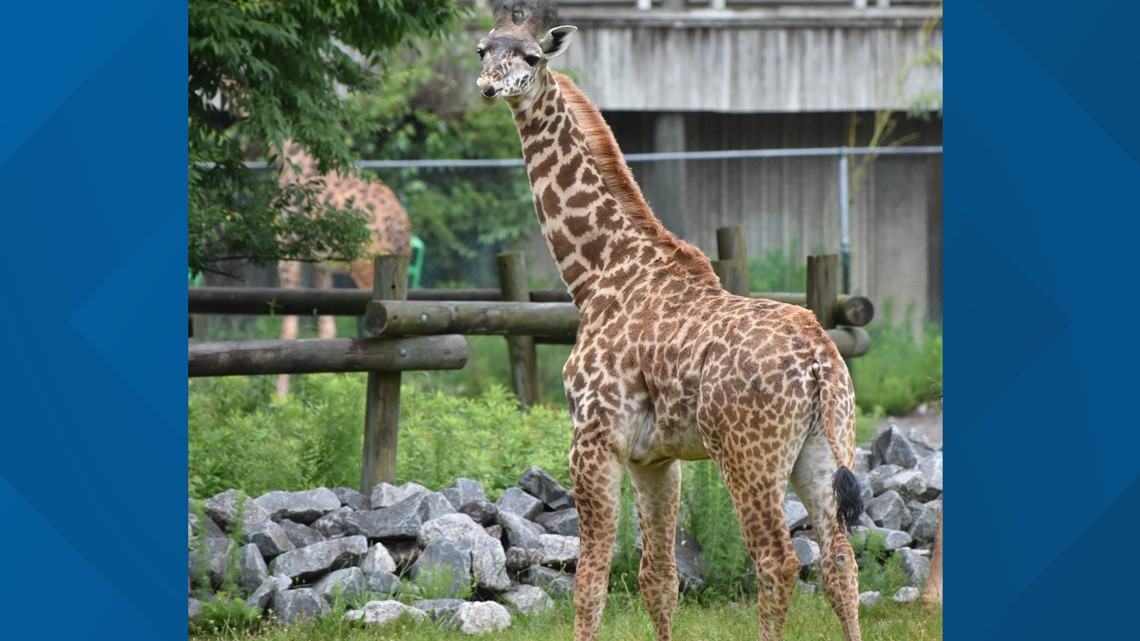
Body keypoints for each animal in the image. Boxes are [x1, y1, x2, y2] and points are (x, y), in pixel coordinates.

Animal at [274, 140, 413, 396]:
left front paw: (280, 397)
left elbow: (288, 325)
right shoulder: (320, 264)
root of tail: (399, 226)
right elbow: (326, 326)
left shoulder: (286, 249)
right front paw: (326, 386)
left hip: (366, 265)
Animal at [475, 3, 864, 640]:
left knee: (778, 562)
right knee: (839, 561)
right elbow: (659, 579)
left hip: (748, 456)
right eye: (484, 50)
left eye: (532, 56)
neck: (598, 275)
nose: (488, 86)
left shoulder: (593, 438)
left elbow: (590, 581)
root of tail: (820, 360)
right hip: (825, 448)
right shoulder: (654, 458)